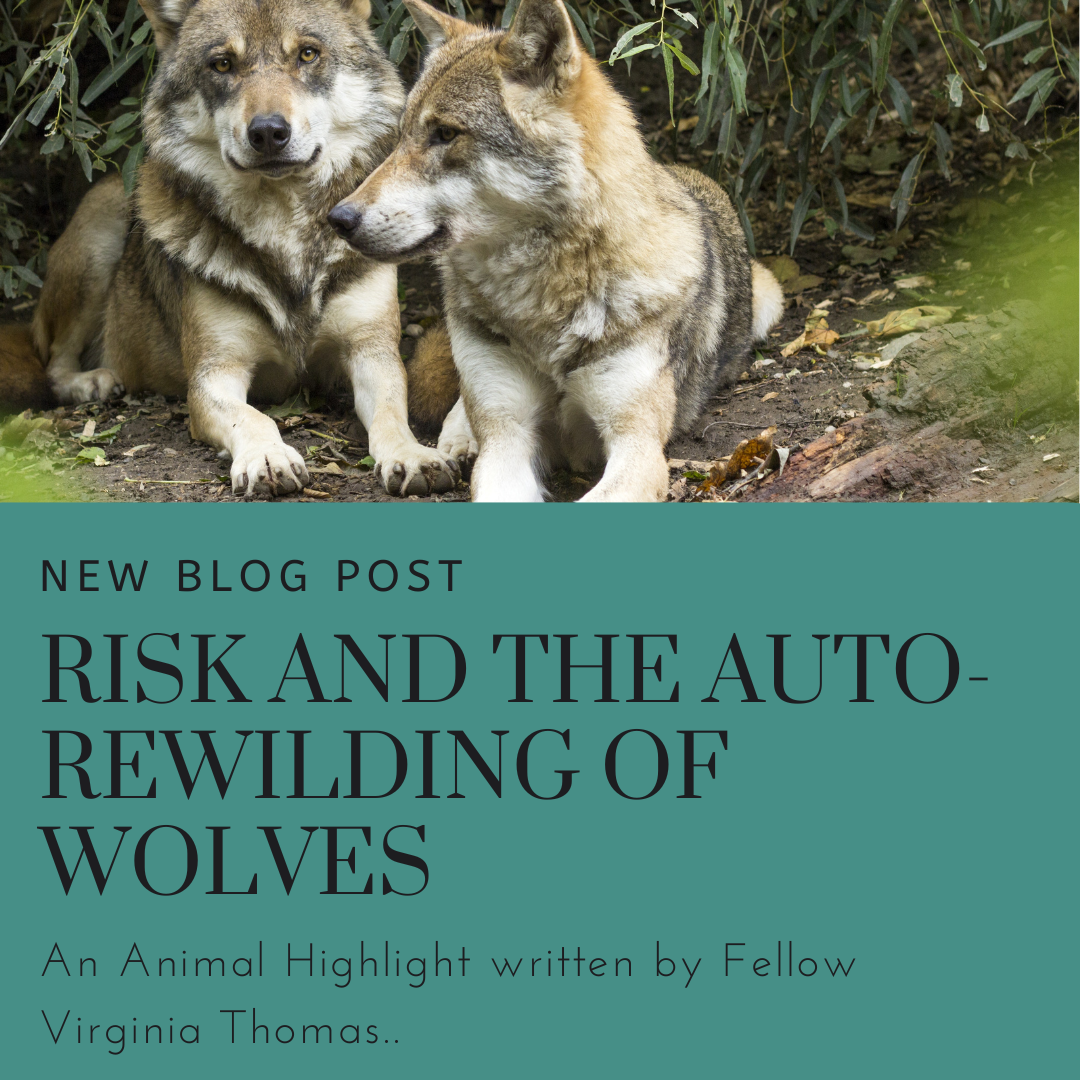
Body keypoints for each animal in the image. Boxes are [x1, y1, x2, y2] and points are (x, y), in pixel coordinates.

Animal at [27, 0, 459, 496]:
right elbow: (253, 418)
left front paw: (412, 456)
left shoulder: (373, 354)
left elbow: (392, 416)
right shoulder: (214, 375)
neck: (284, 229)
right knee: (52, 364)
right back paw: (92, 382)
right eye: (222, 65)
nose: (268, 131)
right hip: (102, 230)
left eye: (307, 54)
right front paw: (268, 457)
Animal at [325, 0, 785, 502]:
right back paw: (458, 442)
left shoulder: (636, 444)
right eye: (403, 134)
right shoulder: (508, 436)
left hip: (769, 300)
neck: (544, 304)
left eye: (445, 134)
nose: (339, 218)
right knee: (463, 406)